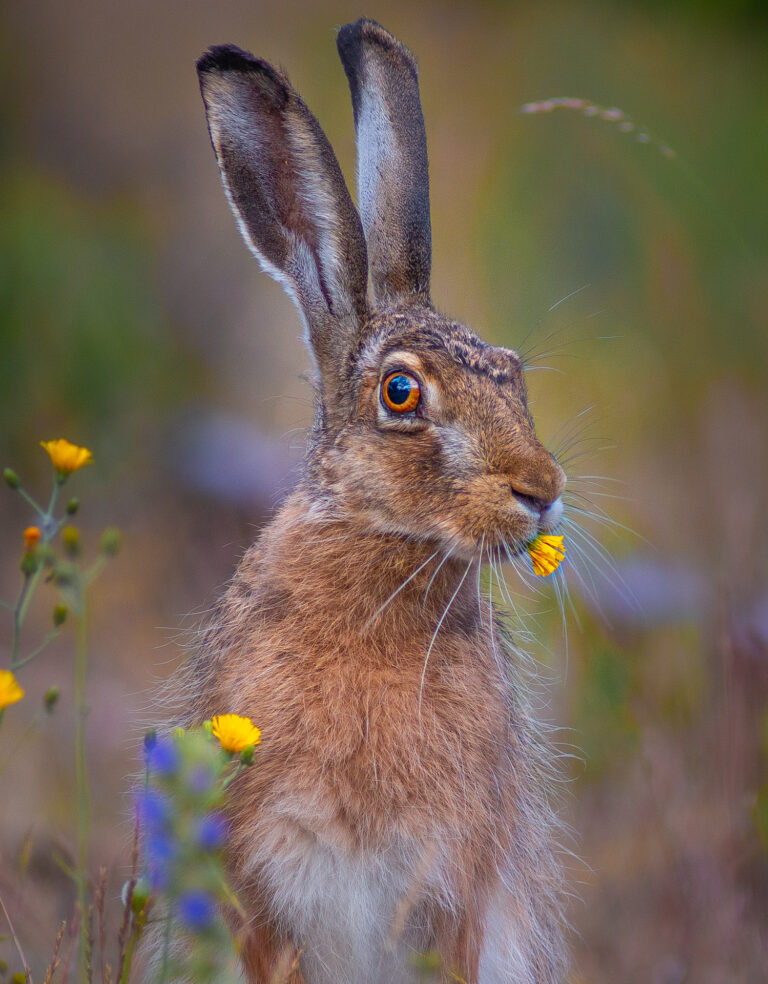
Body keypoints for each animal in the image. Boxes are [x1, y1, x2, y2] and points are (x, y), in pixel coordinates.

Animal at [186, 16, 569, 984]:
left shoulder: (453, 890)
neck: (384, 552)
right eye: (401, 394)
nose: (543, 492)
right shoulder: (264, 887)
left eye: (512, 372)